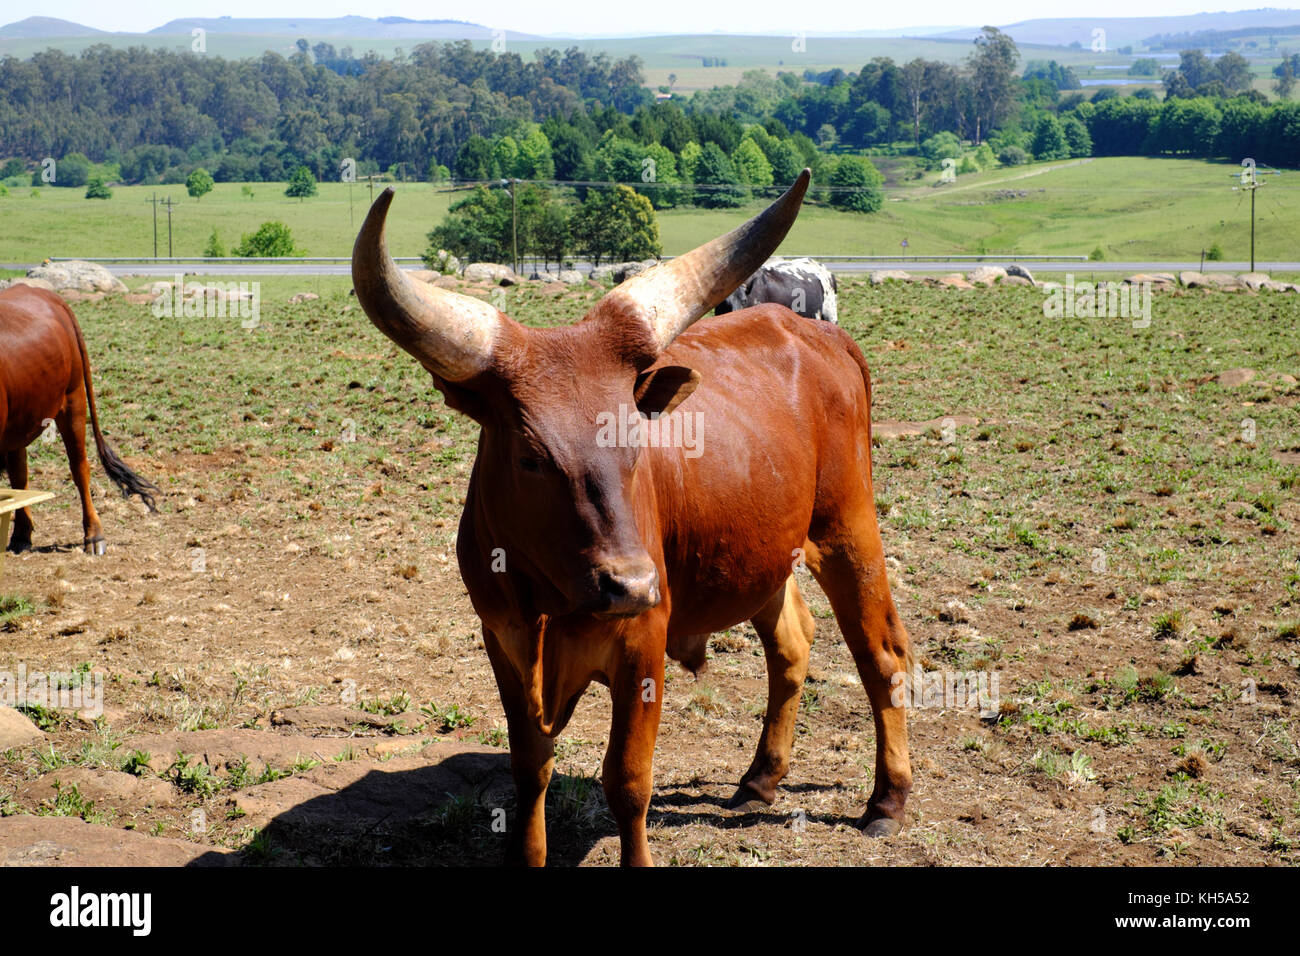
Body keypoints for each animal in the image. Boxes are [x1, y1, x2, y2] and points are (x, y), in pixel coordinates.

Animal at [0, 285, 159, 554]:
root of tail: (44, 293)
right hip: (20, 418)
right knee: (19, 475)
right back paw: (21, 534)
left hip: (73, 398)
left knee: (79, 467)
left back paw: (94, 535)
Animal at [351, 170, 912, 866]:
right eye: (530, 456)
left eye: (636, 439)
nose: (632, 584)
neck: (551, 600)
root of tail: (823, 334)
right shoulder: (503, 644)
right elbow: (529, 769)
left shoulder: (644, 645)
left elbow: (627, 781)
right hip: (764, 553)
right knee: (792, 643)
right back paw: (759, 779)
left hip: (847, 529)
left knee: (882, 653)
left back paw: (887, 800)